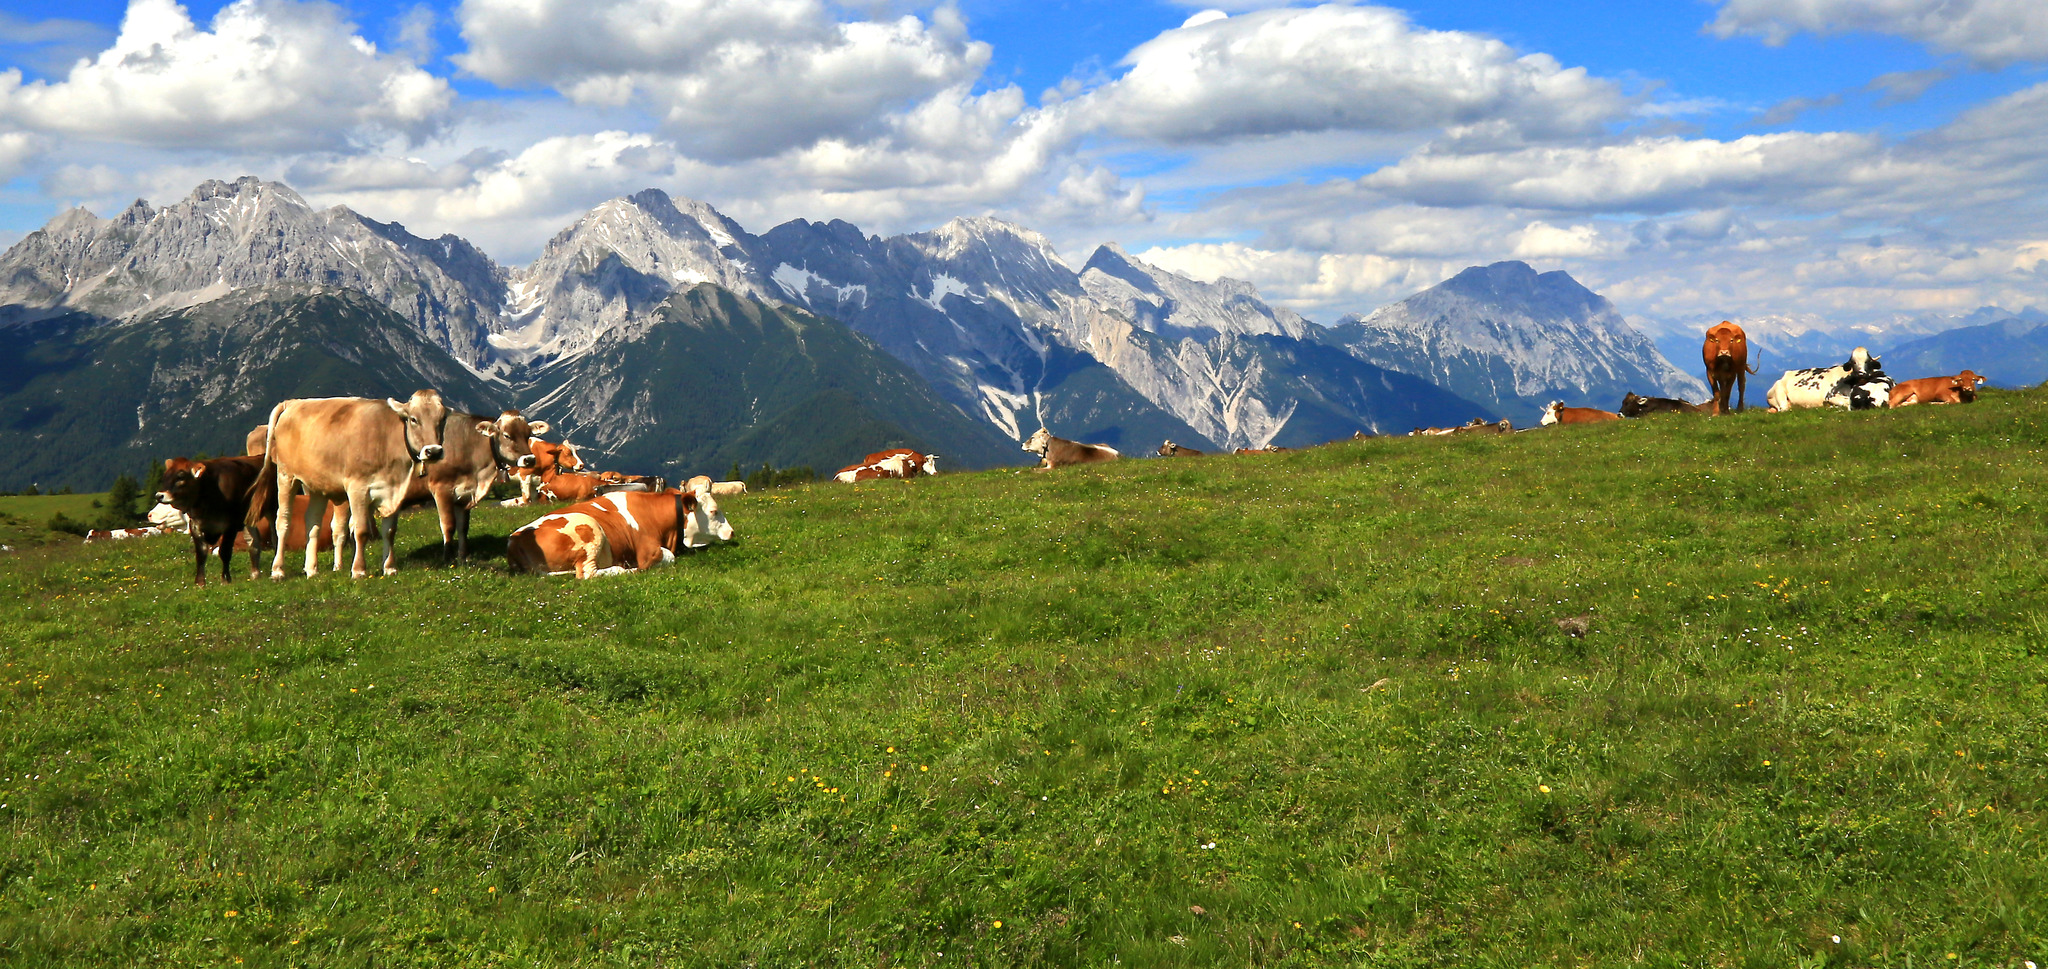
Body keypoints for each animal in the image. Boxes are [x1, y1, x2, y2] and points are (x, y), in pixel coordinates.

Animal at [247, 390, 452, 579]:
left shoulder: (394, 492)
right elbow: (361, 530)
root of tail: (292, 403)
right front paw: (359, 570)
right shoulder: (357, 488)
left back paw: (312, 569)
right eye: (413, 419)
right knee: (283, 521)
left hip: (316, 486)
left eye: (442, 419)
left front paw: (389, 568)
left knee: (312, 522)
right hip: (286, 476)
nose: (433, 451)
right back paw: (278, 570)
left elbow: (390, 531)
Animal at [506, 488, 734, 579]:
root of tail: (514, 541)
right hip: (590, 528)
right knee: (587, 573)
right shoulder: (648, 551)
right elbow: (668, 557)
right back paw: (622, 569)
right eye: (714, 511)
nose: (731, 532)